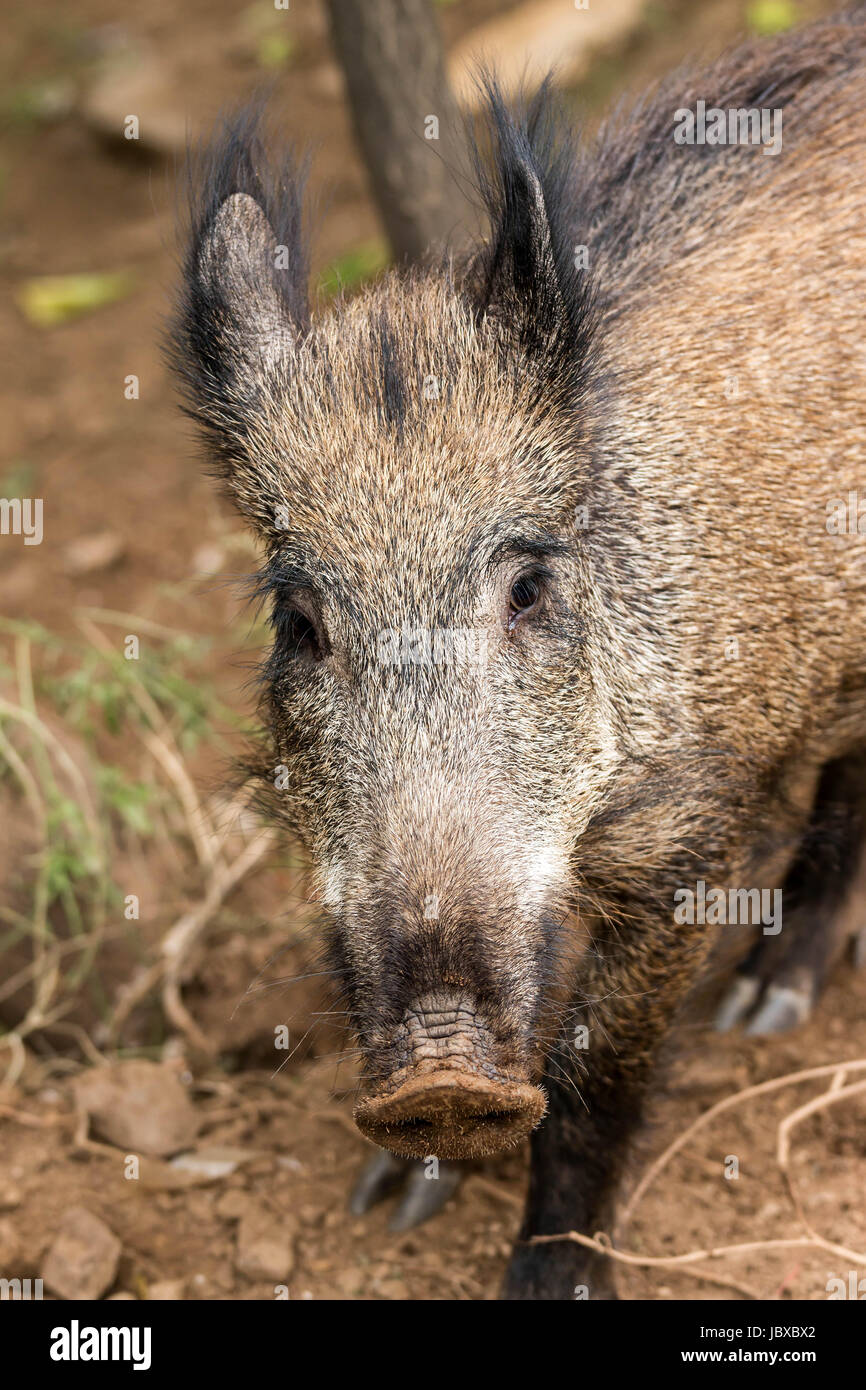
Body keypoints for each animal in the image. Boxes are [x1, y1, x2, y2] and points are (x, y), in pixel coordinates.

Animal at [170, 9, 866, 1298]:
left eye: (528, 587)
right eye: (299, 622)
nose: (438, 1080)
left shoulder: (687, 832)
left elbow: (595, 1075)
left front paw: (548, 1279)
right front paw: (390, 1202)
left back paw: (762, 1009)